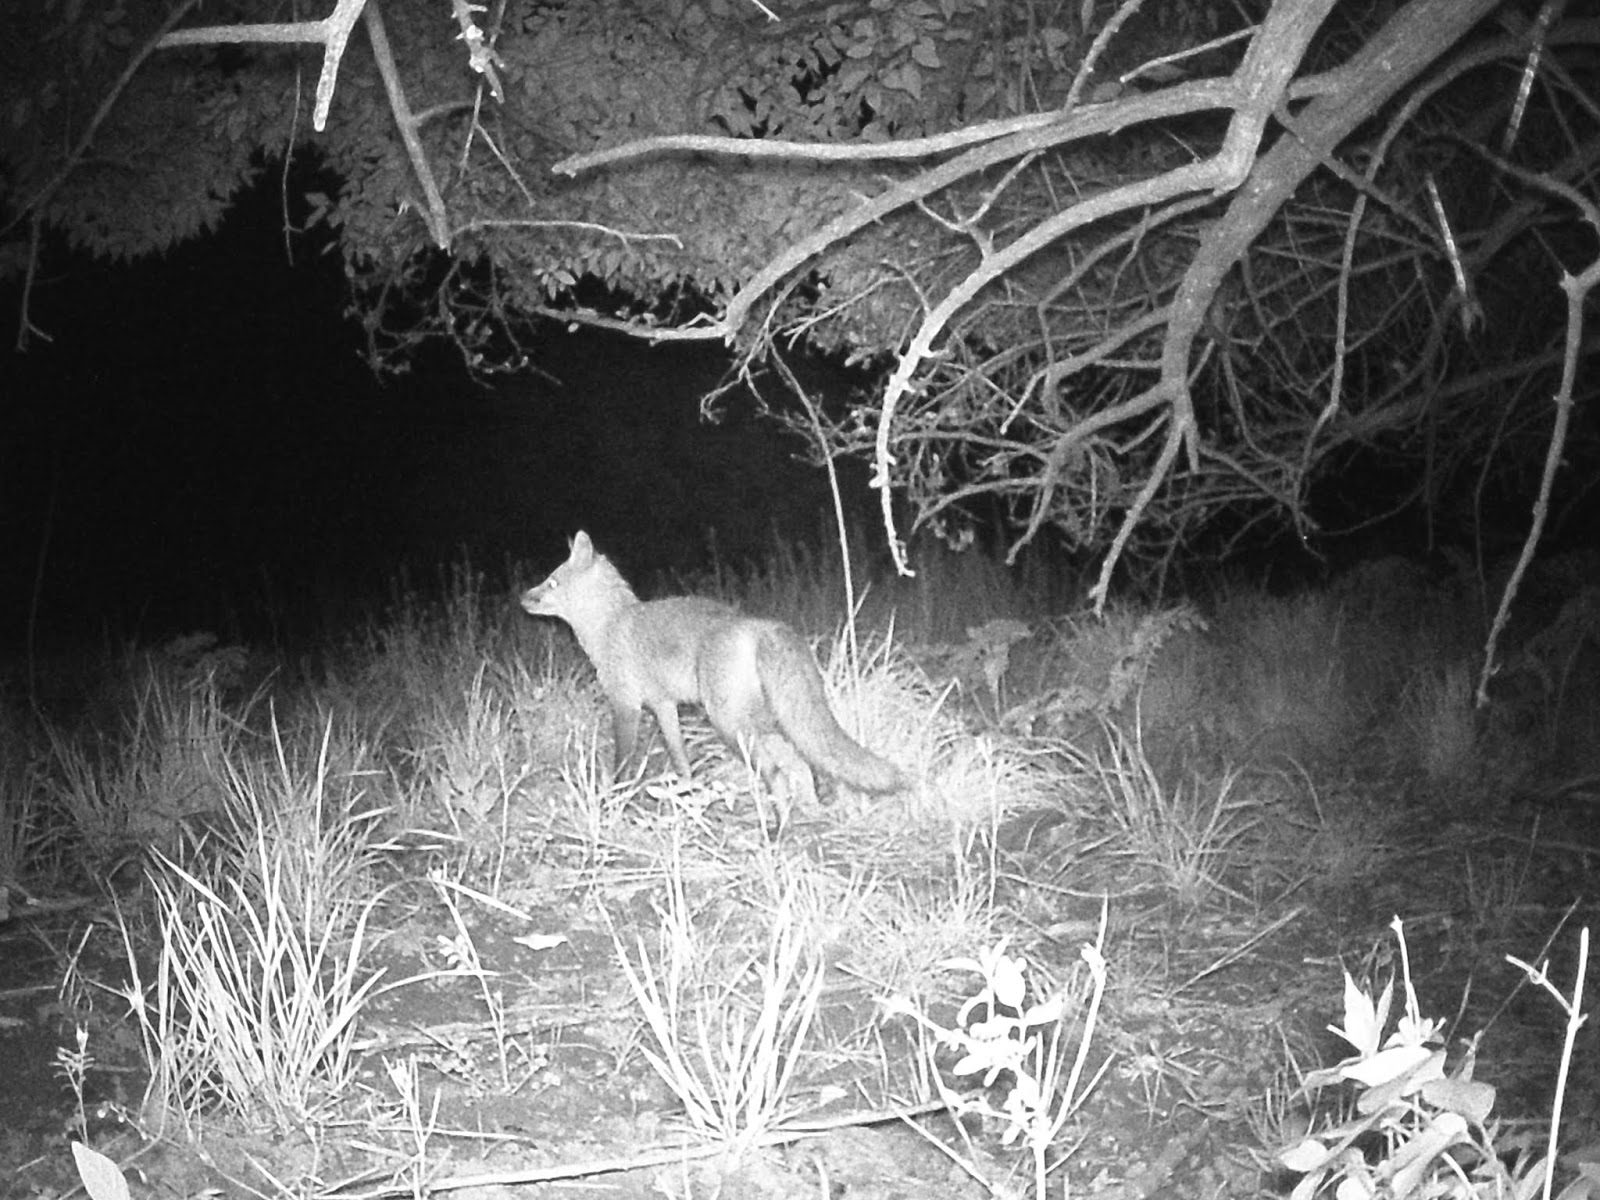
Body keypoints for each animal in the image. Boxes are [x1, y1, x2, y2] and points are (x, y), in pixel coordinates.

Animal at [520, 531, 907, 822]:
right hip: (762, 721)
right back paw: (811, 808)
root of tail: (760, 625)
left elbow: (622, 765)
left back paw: (779, 831)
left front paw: (612, 802)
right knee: (803, 760)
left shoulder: (626, 705)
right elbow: (680, 758)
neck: (609, 626)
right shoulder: (663, 706)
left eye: (551, 583)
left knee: (777, 773)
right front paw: (685, 793)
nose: (522, 597)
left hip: (728, 724)